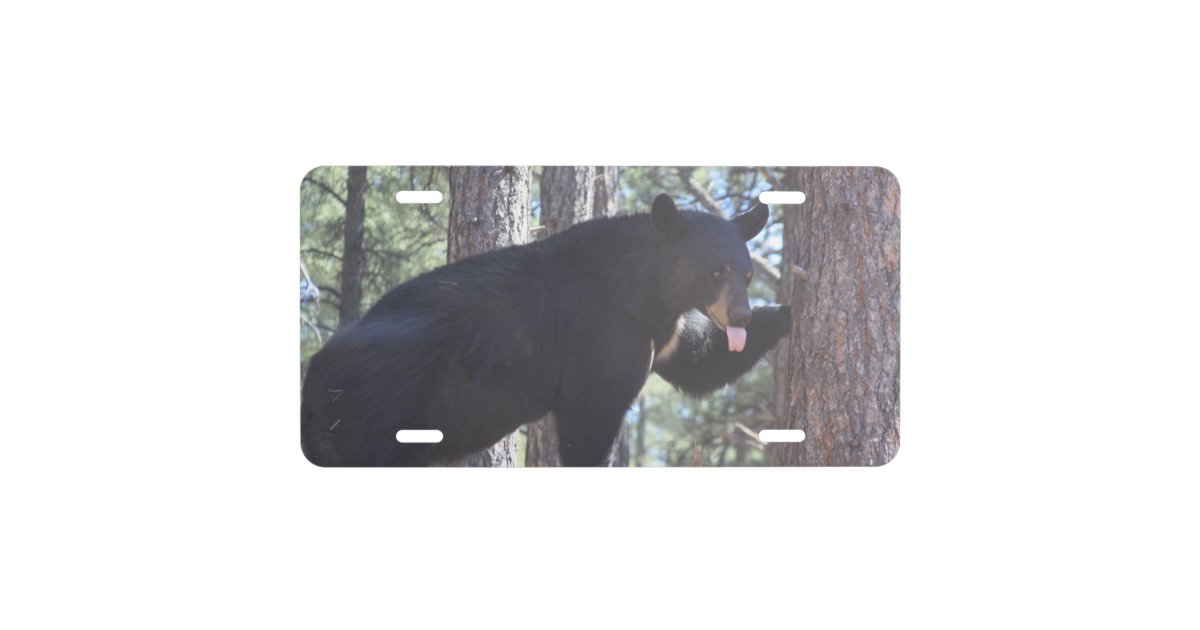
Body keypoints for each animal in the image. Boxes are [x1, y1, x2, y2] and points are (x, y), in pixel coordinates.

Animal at [301, 193, 792, 466]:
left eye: (747, 274)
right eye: (714, 271)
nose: (741, 316)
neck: (645, 291)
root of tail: (315, 367)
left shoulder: (661, 330)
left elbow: (698, 362)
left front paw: (786, 311)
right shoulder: (602, 330)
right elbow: (592, 413)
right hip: (374, 406)